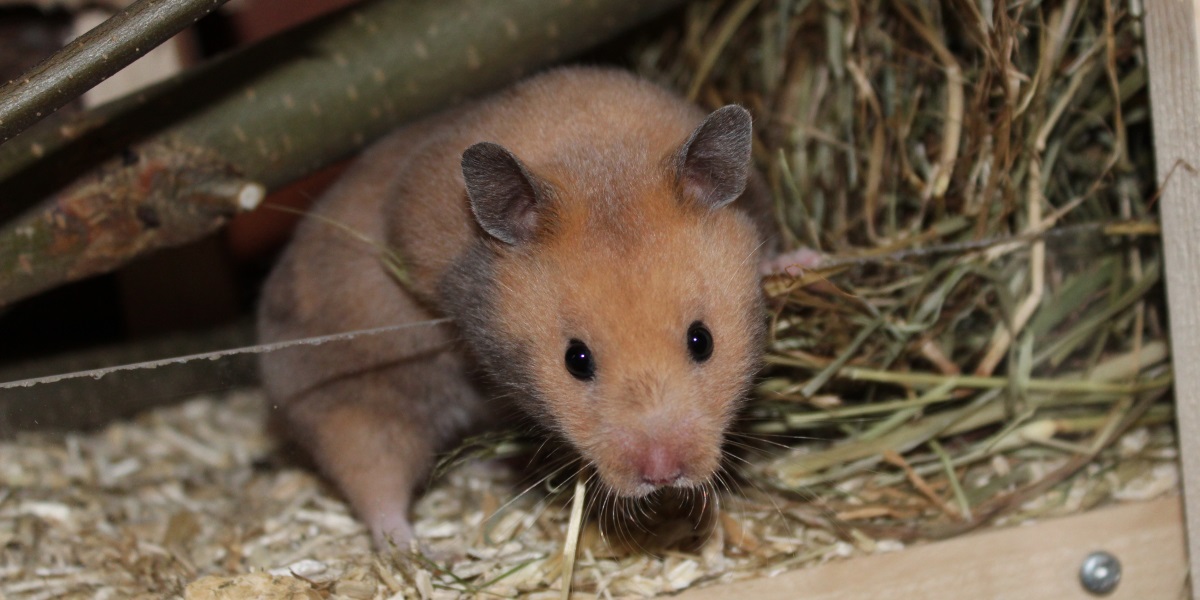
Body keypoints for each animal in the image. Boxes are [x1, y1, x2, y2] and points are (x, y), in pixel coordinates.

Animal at [257, 67, 775, 548]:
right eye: (576, 360)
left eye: (702, 340)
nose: (663, 474)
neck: (598, 153)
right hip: (352, 403)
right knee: (374, 483)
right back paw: (422, 552)